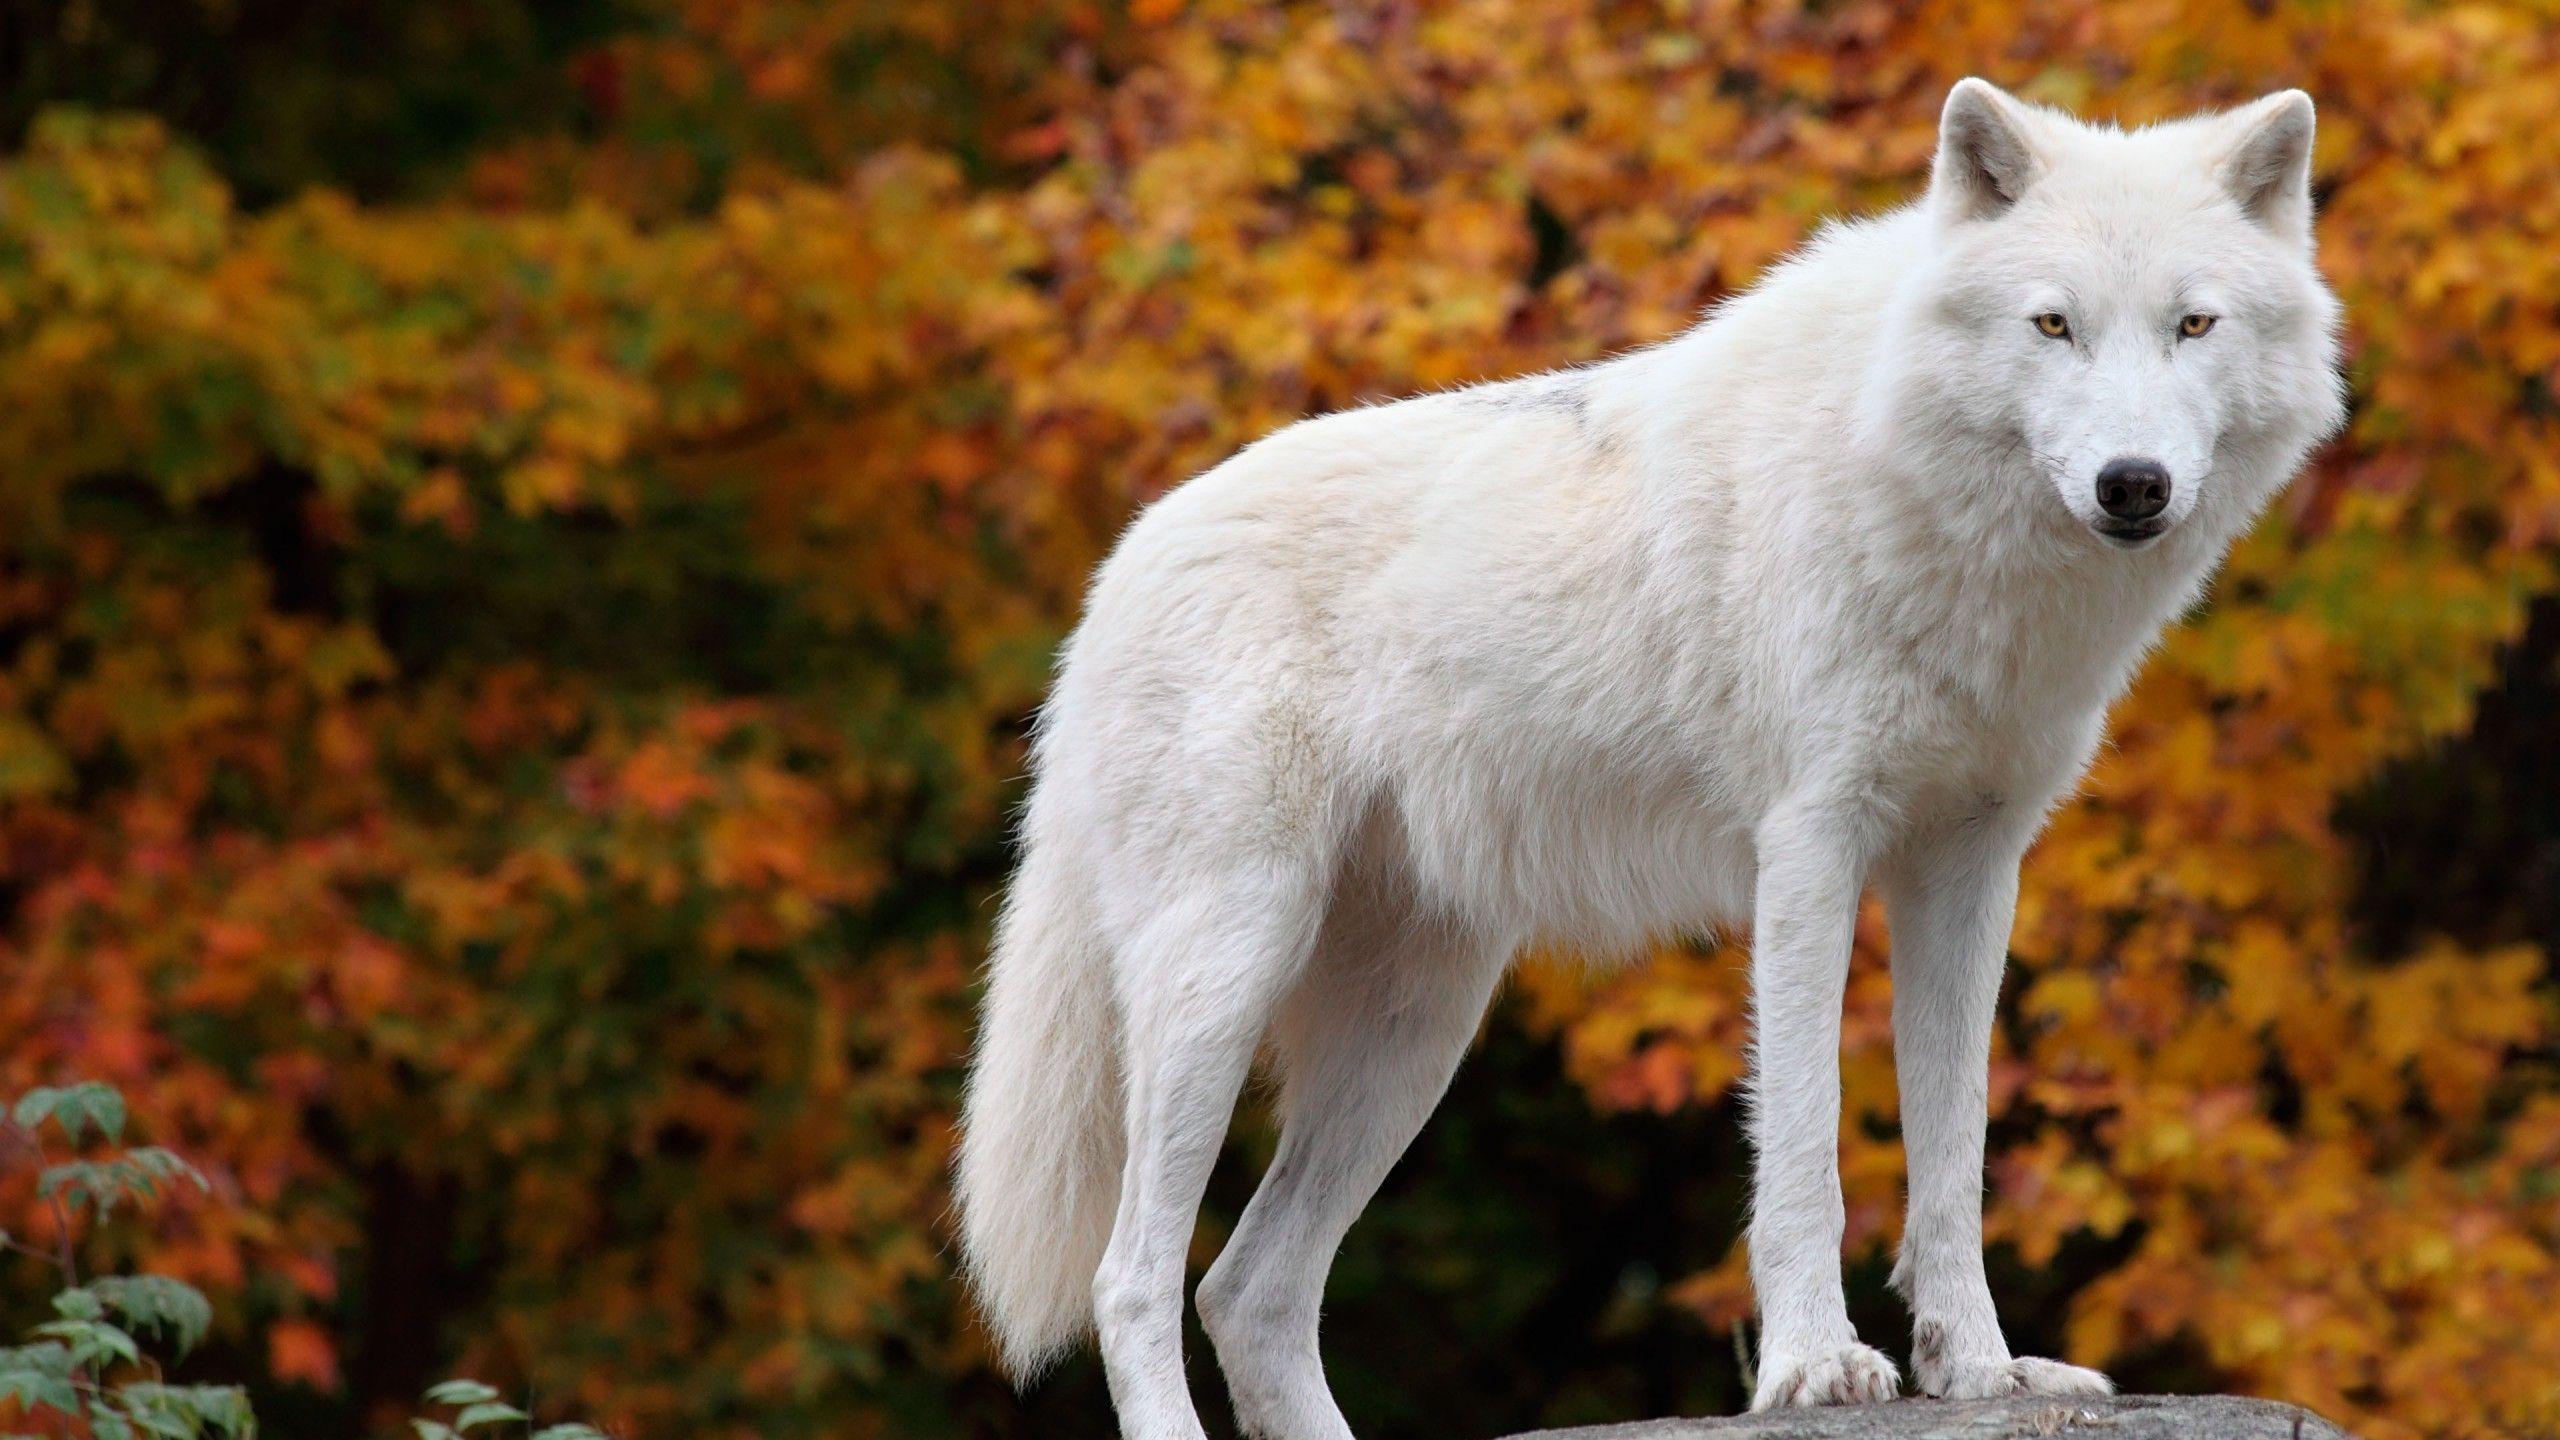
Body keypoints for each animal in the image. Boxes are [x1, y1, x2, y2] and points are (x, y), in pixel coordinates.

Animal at [954, 78, 2345, 1438]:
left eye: (2193, 325)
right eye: (2053, 325)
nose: (2132, 483)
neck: (1913, 490)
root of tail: (1118, 571)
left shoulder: (1969, 867)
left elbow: (1953, 1152)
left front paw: (1981, 1371)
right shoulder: (1809, 849)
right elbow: (1805, 1143)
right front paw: (1813, 1369)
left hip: (1411, 1033)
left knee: (1247, 1291)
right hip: (1226, 975)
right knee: (1135, 1280)